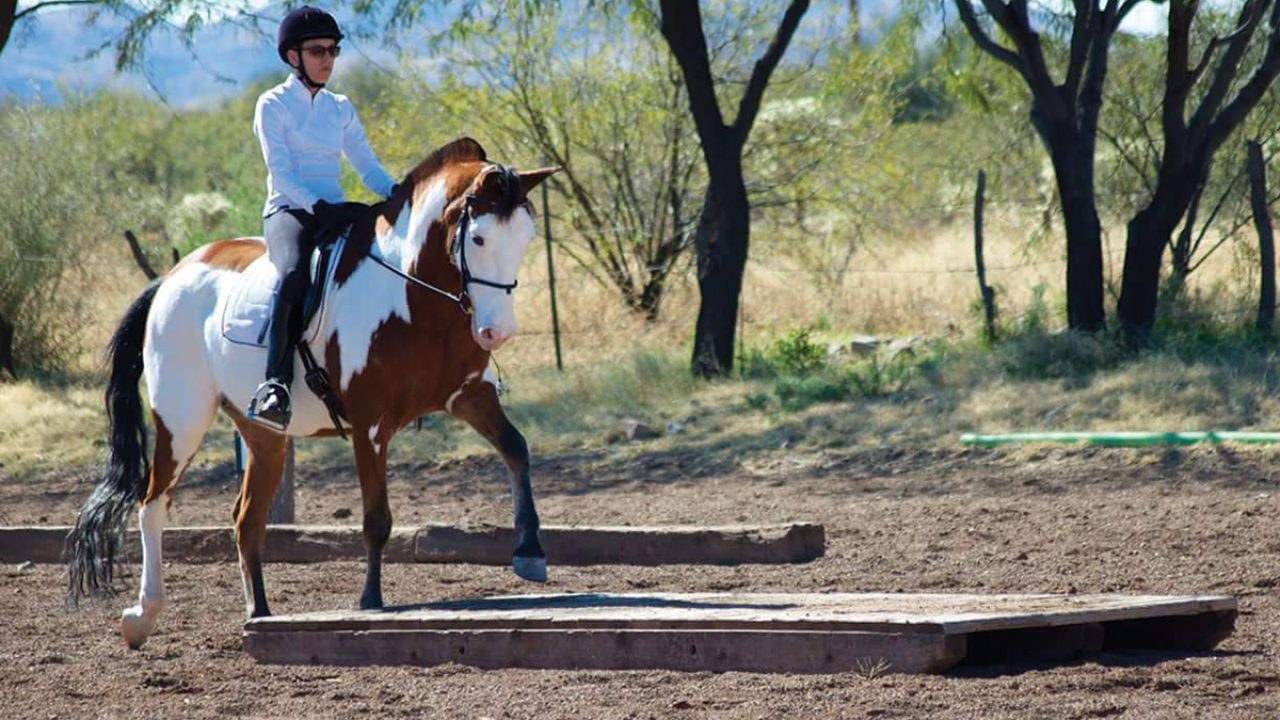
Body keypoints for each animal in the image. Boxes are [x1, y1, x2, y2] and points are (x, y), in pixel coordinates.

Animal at [66, 137, 556, 649]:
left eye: (525, 239)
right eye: (478, 239)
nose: (496, 333)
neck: (416, 299)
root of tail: (171, 276)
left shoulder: (468, 395)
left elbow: (517, 450)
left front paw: (530, 553)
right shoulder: (370, 424)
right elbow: (376, 518)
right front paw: (370, 601)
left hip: (263, 436)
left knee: (246, 519)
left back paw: (259, 614)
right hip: (182, 419)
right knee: (153, 504)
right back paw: (142, 616)